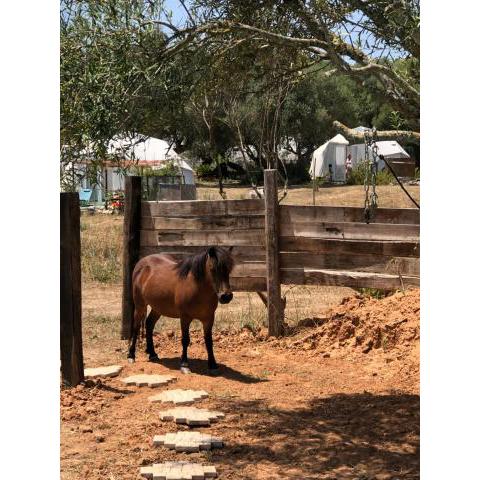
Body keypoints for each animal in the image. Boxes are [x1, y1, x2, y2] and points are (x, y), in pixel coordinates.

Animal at [126, 246, 233, 374]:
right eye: (212, 269)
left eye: (229, 269)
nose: (226, 296)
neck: (196, 288)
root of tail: (141, 264)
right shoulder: (185, 318)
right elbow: (185, 340)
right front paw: (184, 365)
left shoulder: (209, 318)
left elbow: (209, 341)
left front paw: (212, 365)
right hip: (140, 306)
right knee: (136, 327)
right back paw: (131, 355)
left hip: (158, 308)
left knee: (149, 324)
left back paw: (152, 354)